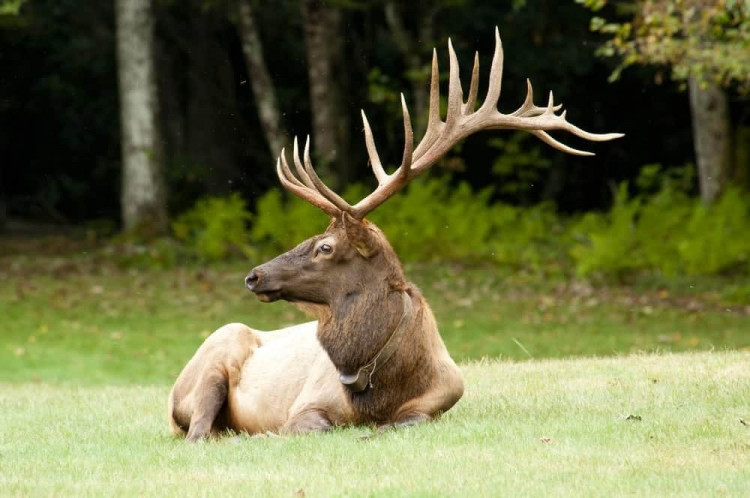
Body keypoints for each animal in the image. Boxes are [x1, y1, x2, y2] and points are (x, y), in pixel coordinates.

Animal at [168, 28, 623, 441]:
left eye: (325, 246)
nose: (254, 275)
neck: (383, 387)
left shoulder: (440, 401)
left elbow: (405, 422)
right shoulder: (305, 405)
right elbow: (314, 426)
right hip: (213, 359)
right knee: (199, 432)